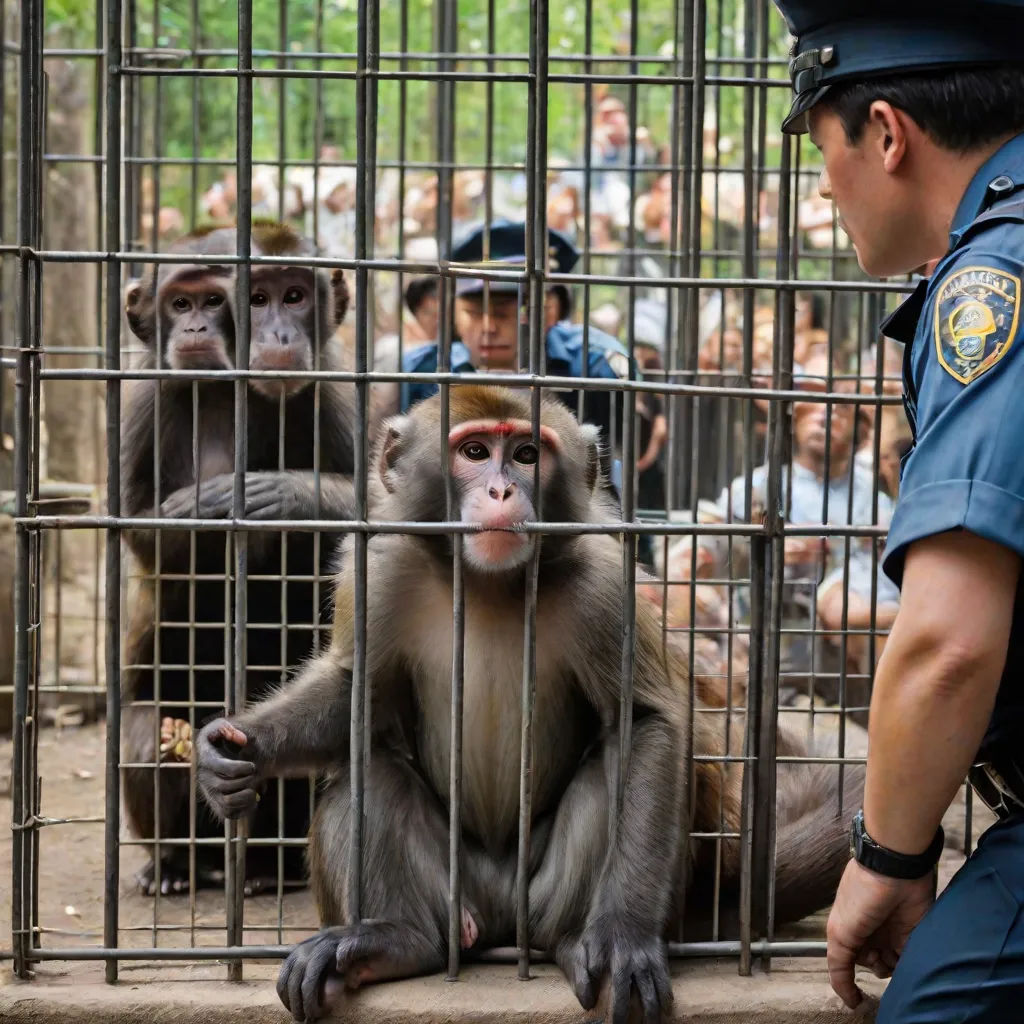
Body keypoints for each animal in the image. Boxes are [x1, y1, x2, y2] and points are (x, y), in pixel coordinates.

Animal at [120, 222, 357, 895]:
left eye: (295, 297)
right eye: (180, 303)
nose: (277, 331)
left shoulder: (335, 393)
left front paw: (284, 494)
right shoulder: (143, 402)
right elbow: (135, 524)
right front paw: (208, 506)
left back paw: (264, 868)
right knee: (148, 730)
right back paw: (176, 865)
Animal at [194, 386, 861, 1023]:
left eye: (526, 454)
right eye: (473, 451)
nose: (500, 489)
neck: (489, 583)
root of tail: (498, 922)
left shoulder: (604, 585)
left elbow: (645, 722)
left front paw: (623, 937)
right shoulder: (381, 571)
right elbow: (354, 693)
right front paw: (236, 753)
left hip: (539, 895)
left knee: (612, 773)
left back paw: (571, 940)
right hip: (457, 891)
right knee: (369, 775)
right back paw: (392, 942)